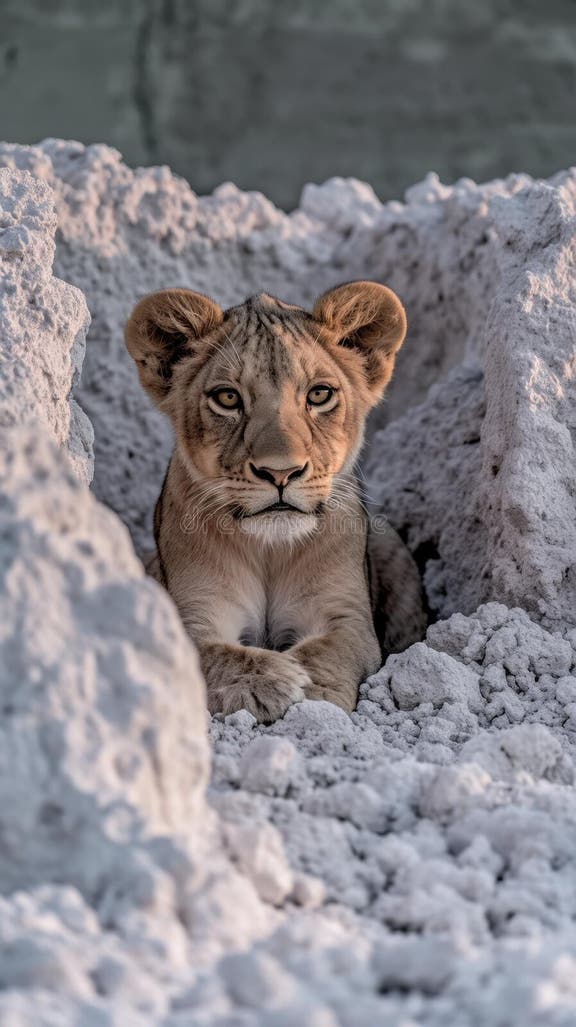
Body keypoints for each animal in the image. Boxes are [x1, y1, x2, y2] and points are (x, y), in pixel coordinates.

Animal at [125, 280, 426, 722]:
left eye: (319, 394)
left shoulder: (347, 616)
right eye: (228, 399)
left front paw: (312, 692)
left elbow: (330, 651)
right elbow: (213, 654)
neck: (269, 548)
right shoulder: (191, 613)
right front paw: (271, 681)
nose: (281, 473)